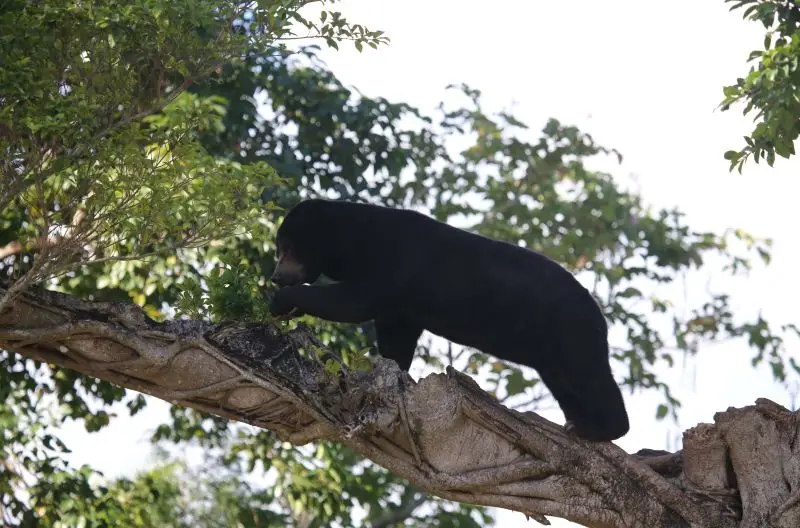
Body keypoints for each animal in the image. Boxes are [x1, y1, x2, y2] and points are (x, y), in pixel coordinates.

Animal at [269, 198, 630, 442]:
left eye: (287, 248)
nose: (275, 276)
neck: (351, 239)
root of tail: (598, 312)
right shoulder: (401, 308)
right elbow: (395, 335)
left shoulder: (391, 265)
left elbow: (355, 302)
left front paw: (283, 301)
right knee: (567, 382)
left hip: (569, 329)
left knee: (588, 375)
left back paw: (600, 429)